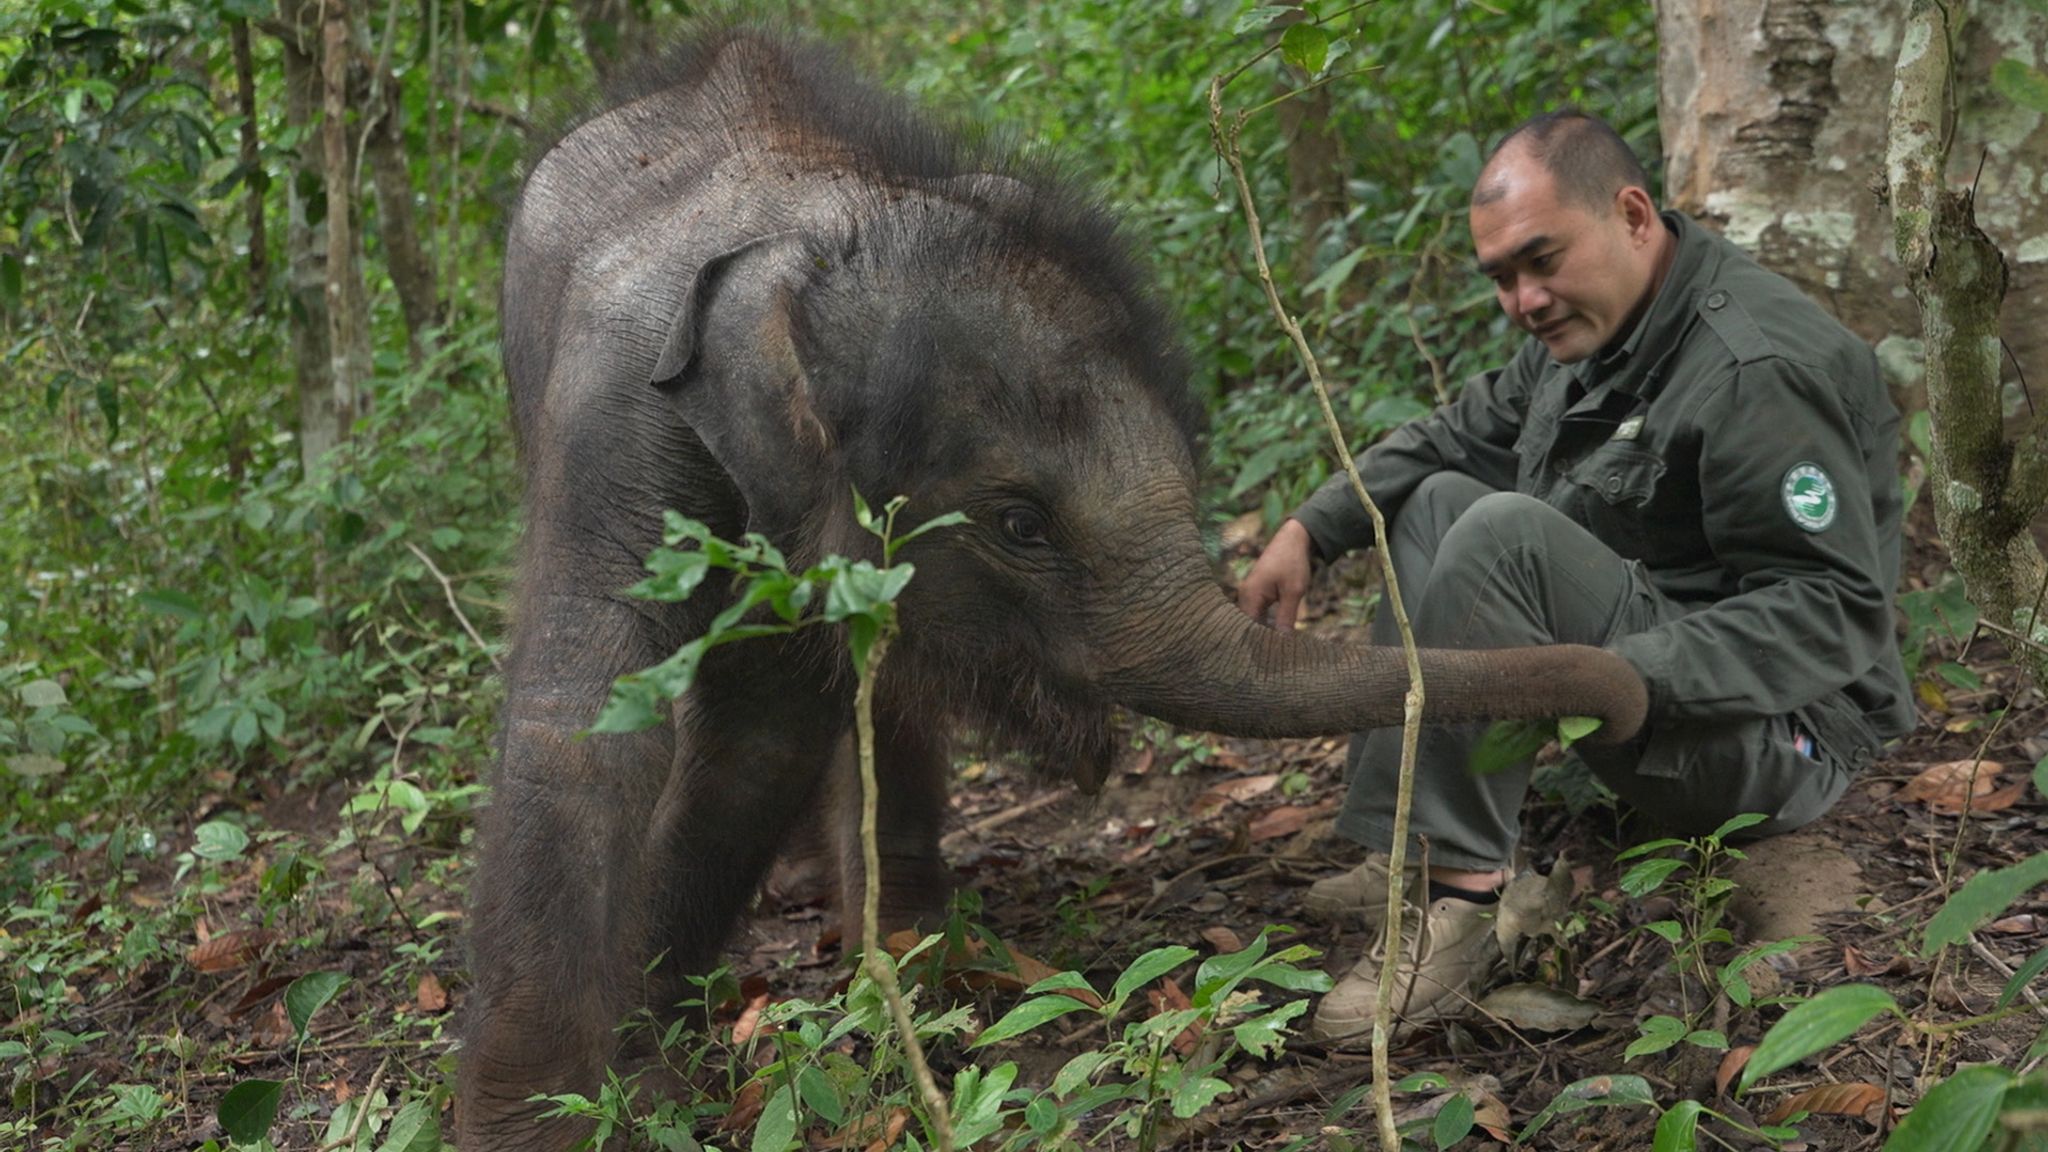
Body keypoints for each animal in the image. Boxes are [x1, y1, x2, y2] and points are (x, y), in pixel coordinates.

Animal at [459, 23, 1649, 1149]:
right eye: (1019, 524)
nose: (1628, 702)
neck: (826, 226)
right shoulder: (621, 411)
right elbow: (593, 716)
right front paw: (574, 1109)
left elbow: (770, 724)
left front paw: (661, 1038)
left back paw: (904, 939)